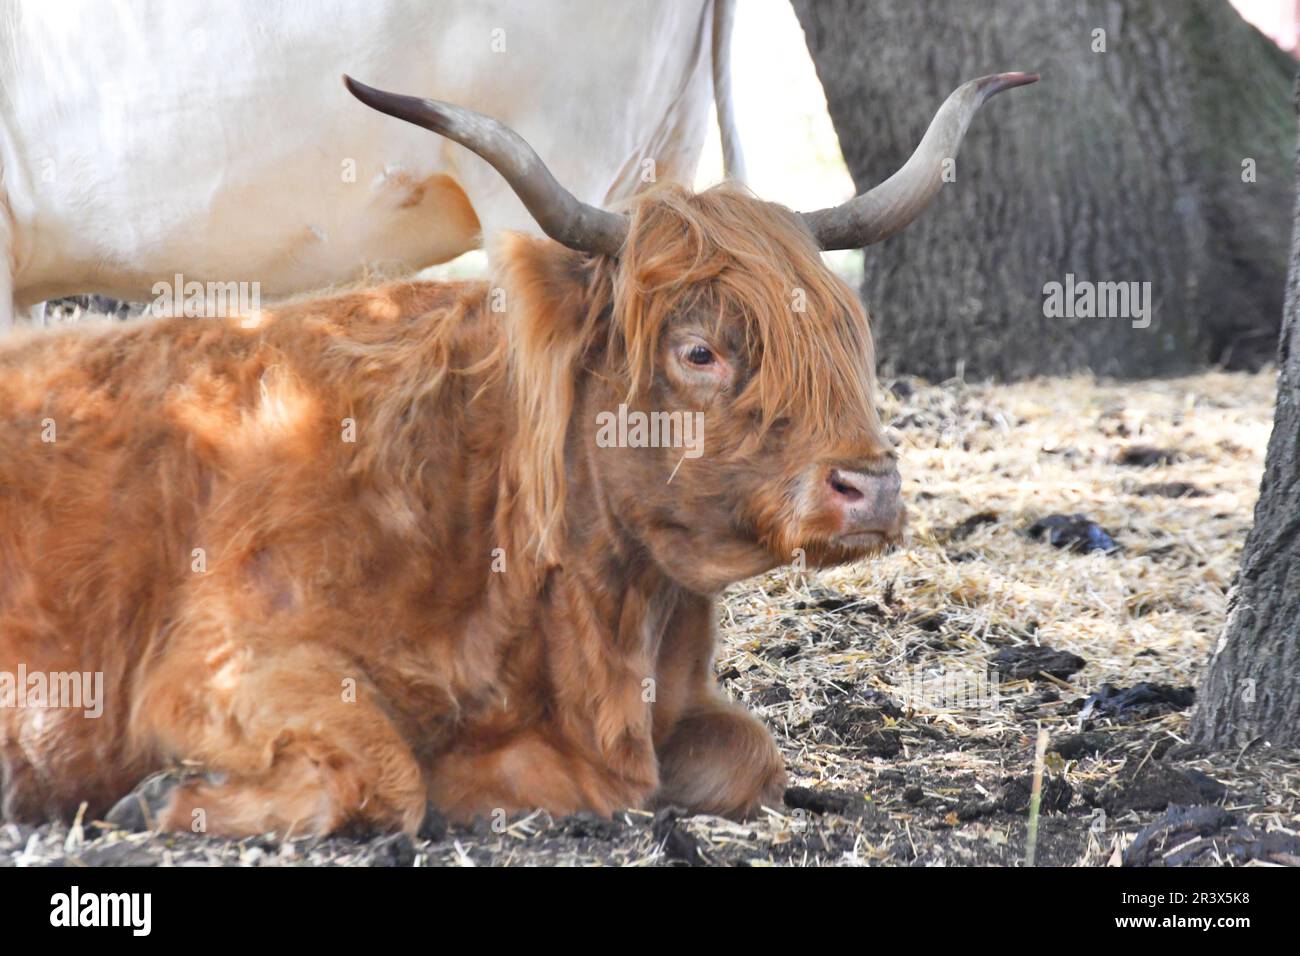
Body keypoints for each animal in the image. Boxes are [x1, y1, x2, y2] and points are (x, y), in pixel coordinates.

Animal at [0, 71, 1036, 835]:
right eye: (697, 350)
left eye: (843, 335)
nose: (871, 486)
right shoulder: (215, 665)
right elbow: (385, 776)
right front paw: (150, 800)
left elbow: (752, 756)